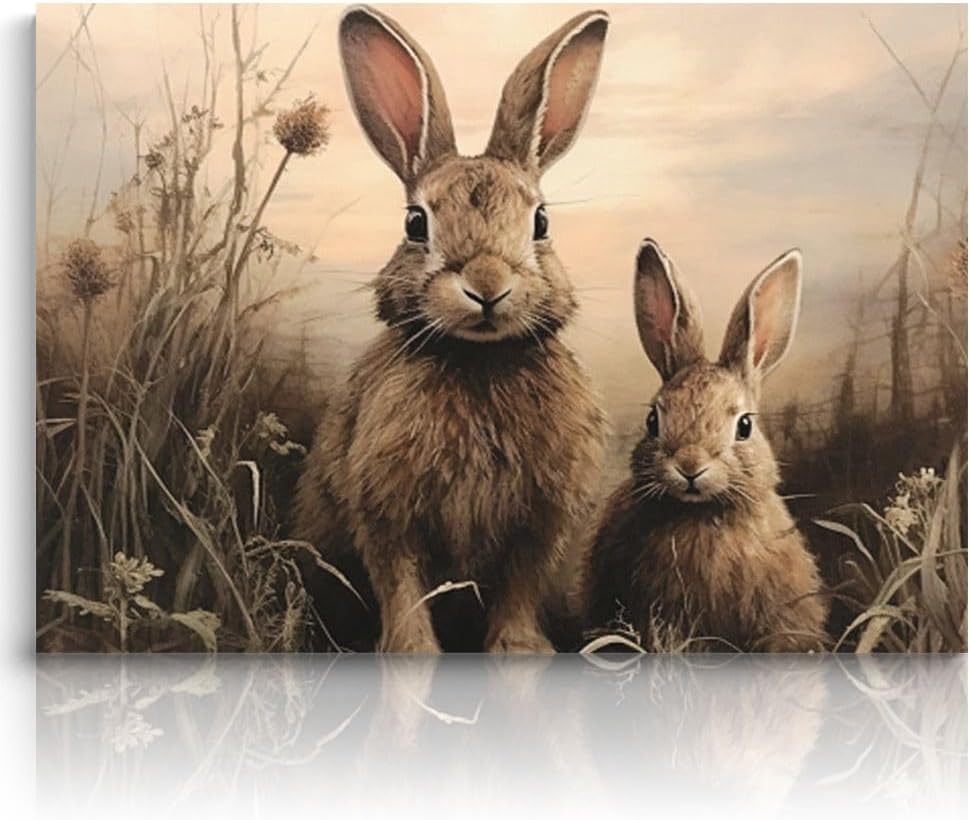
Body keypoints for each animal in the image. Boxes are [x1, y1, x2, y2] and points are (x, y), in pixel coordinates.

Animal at [293, 5, 610, 653]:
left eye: (541, 221)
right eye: (416, 223)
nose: (487, 285)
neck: (479, 362)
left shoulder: (541, 522)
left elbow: (520, 589)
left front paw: (518, 650)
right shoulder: (386, 511)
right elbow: (401, 587)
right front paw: (410, 653)